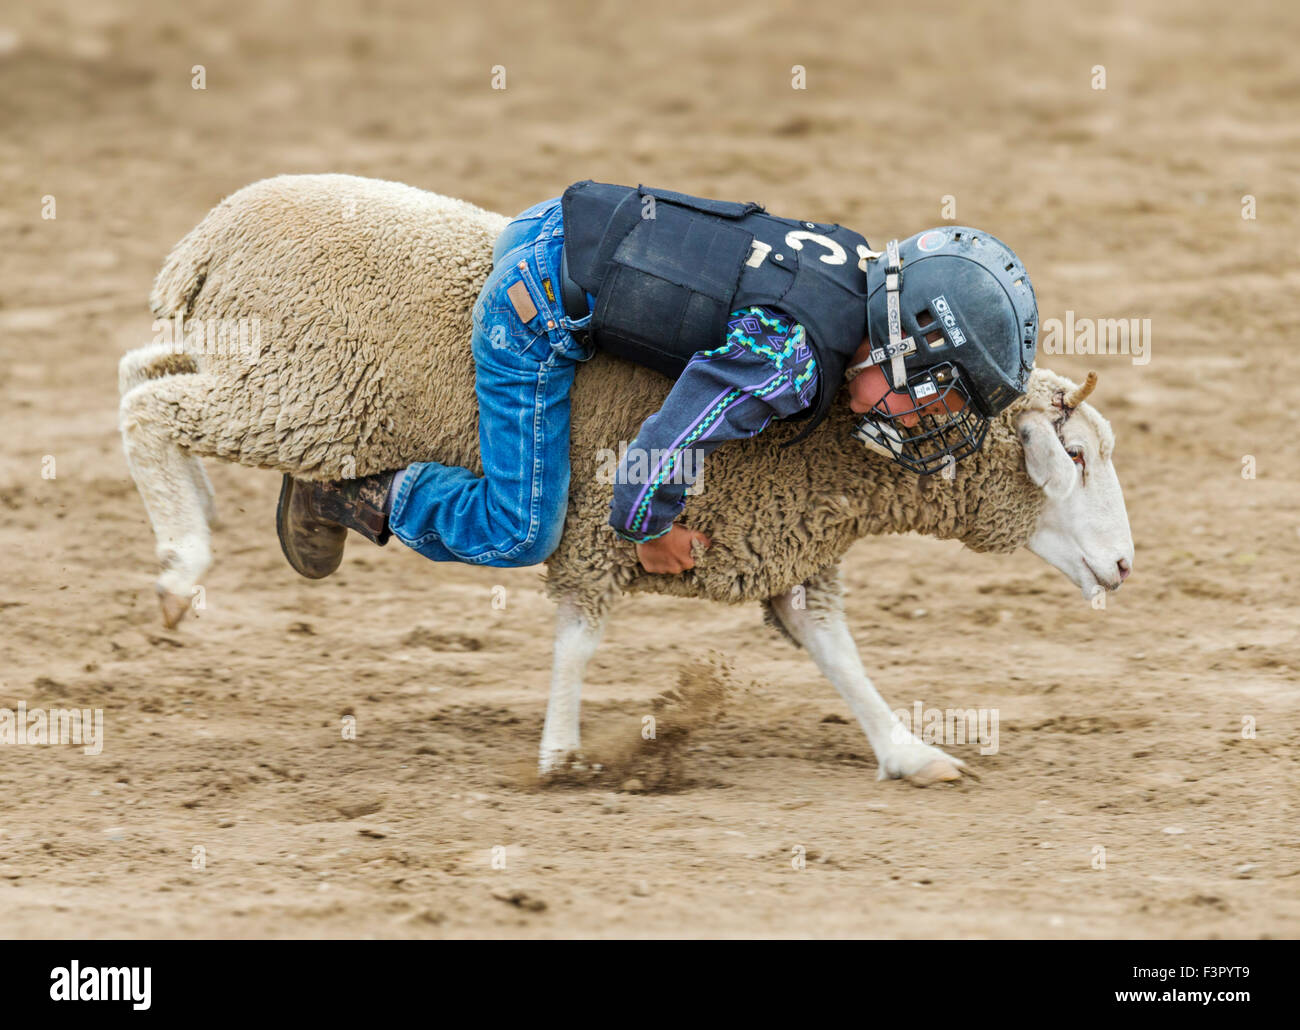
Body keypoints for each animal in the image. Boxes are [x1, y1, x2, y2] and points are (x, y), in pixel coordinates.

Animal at [119, 174, 1135, 786]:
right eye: (1076, 457)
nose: (1125, 567)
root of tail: (209, 238)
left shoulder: (789, 544)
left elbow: (836, 652)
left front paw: (907, 751)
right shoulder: (601, 525)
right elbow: (579, 636)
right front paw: (563, 755)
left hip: (259, 373)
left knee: (140, 374)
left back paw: (257, 519)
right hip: (312, 392)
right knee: (152, 413)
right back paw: (181, 564)